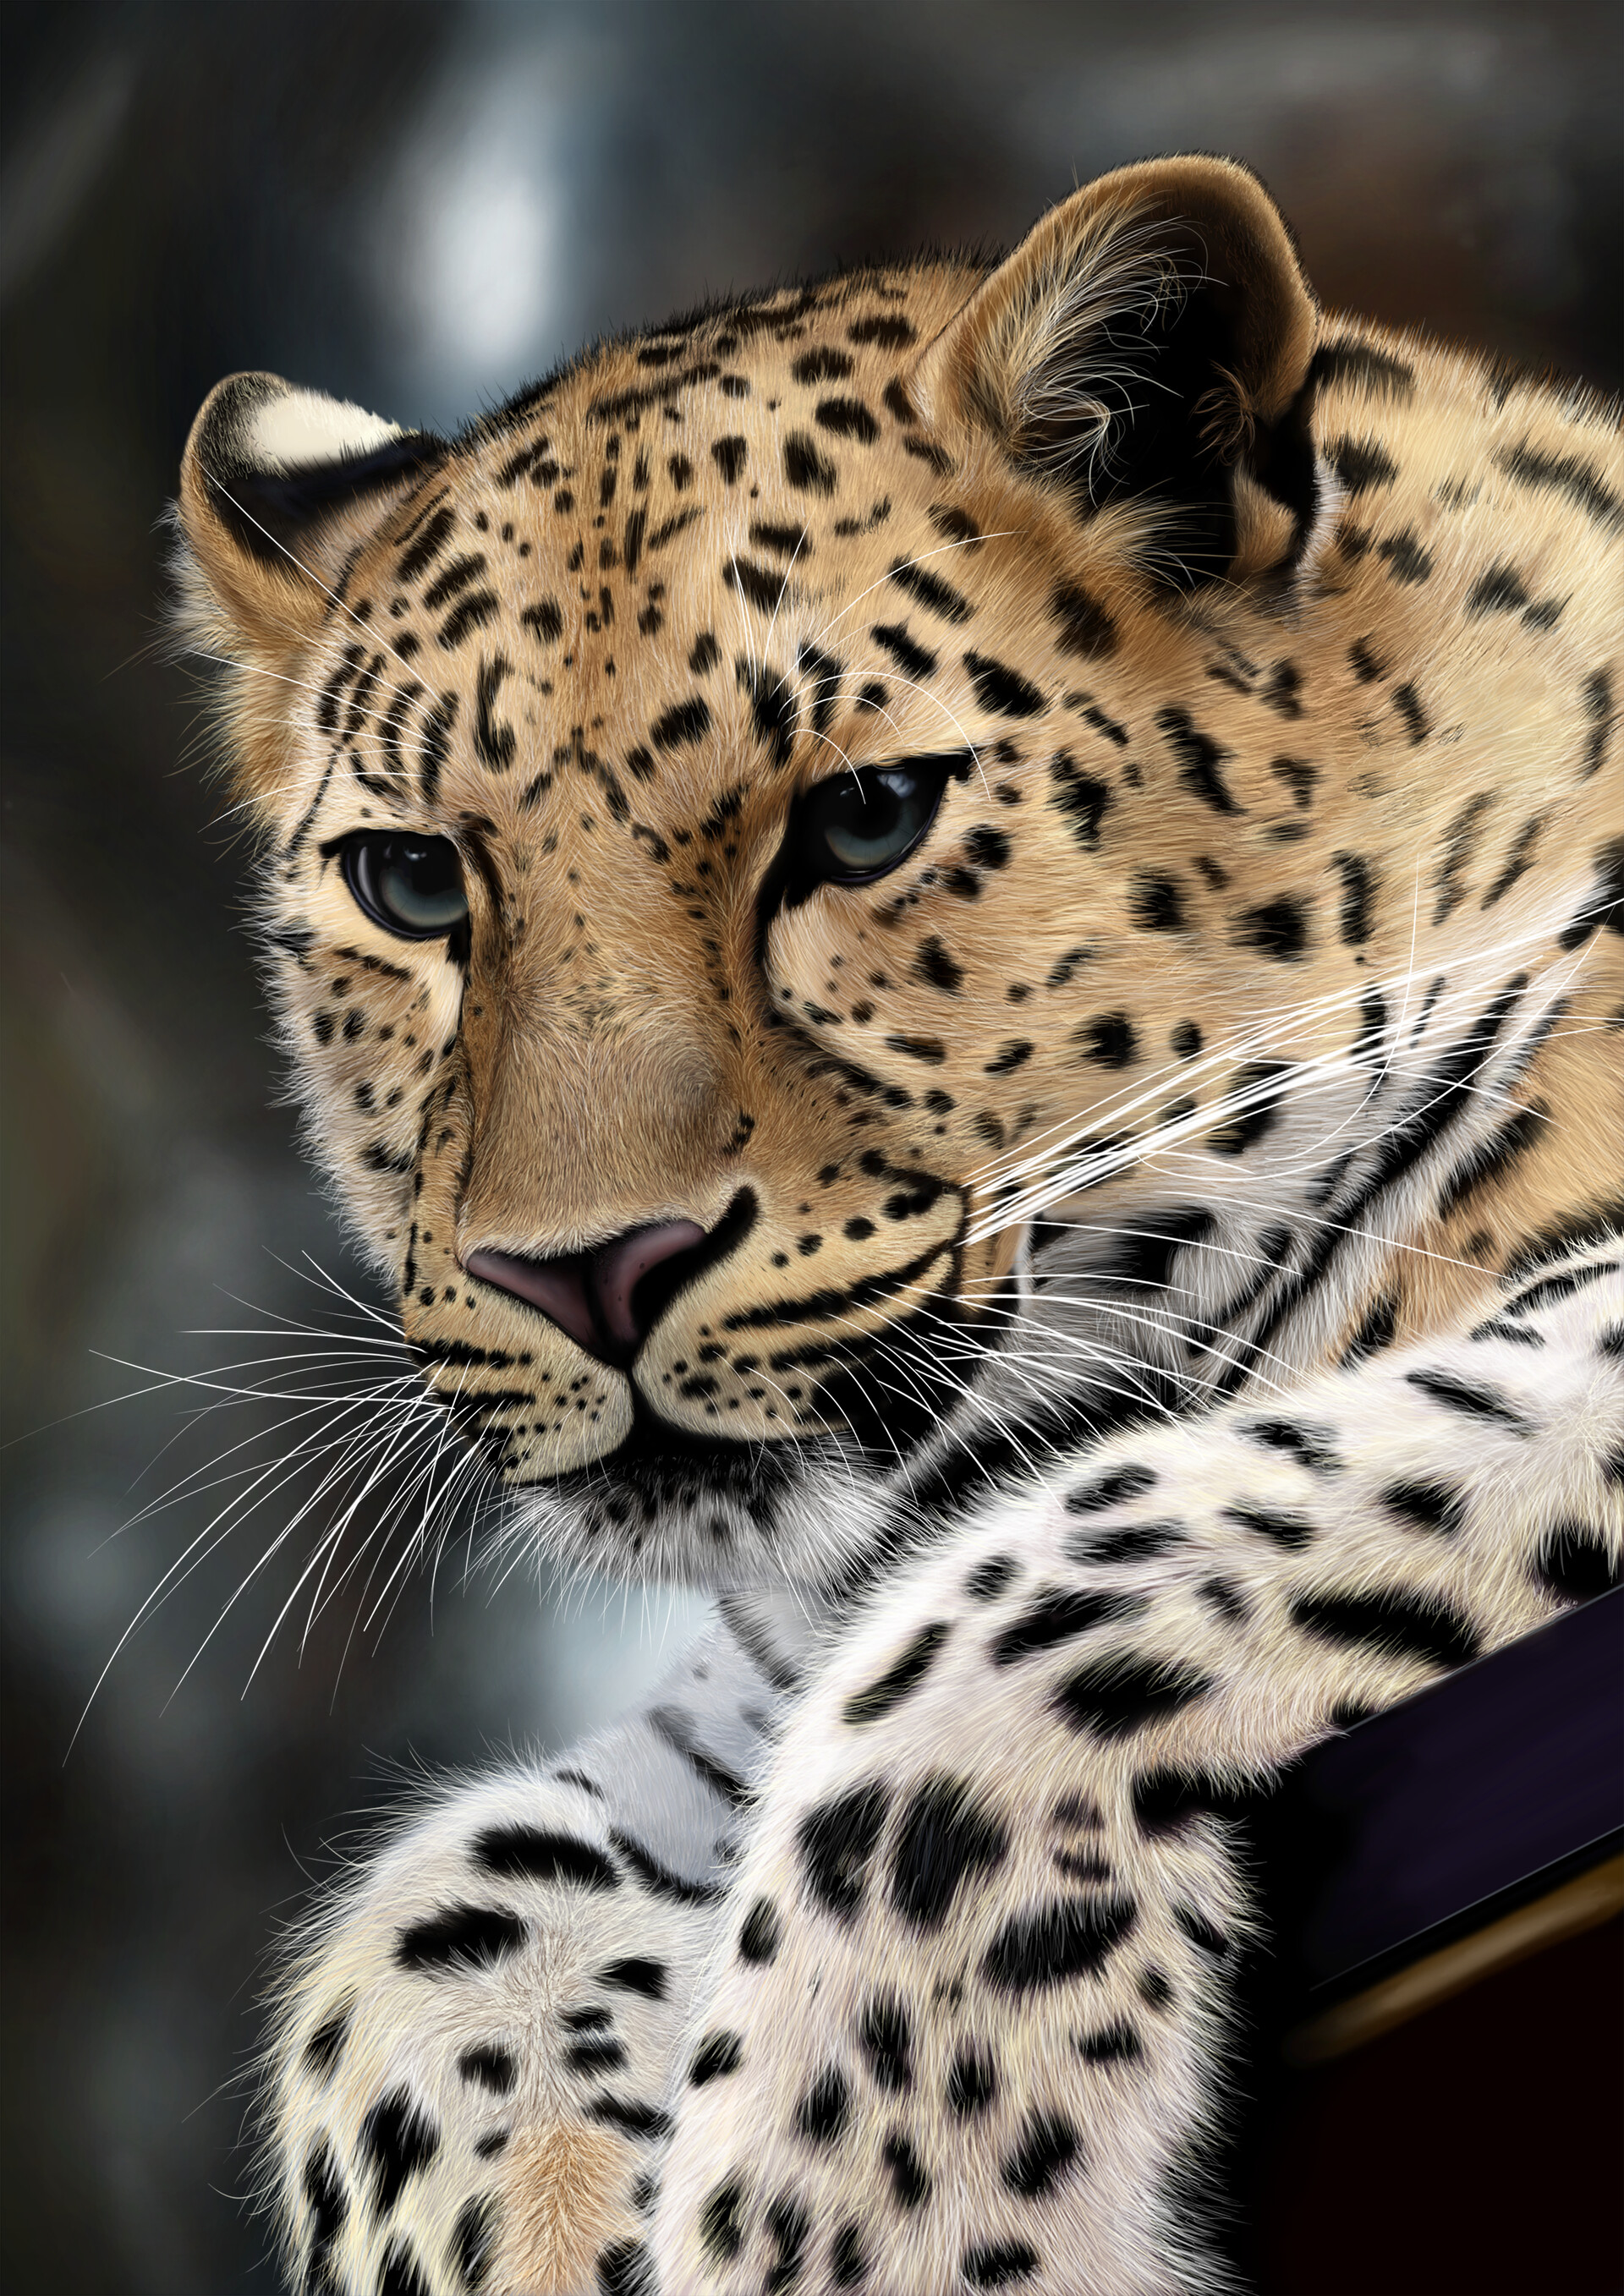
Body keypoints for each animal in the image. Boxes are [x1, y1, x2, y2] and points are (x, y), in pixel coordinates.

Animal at [170, 155, 1623, 2295]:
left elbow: (1050, 1593)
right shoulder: (735, 1682)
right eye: (413, 881)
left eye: (864, 824)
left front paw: (860, 2218)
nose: (581, 1274)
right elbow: (438, 1903)